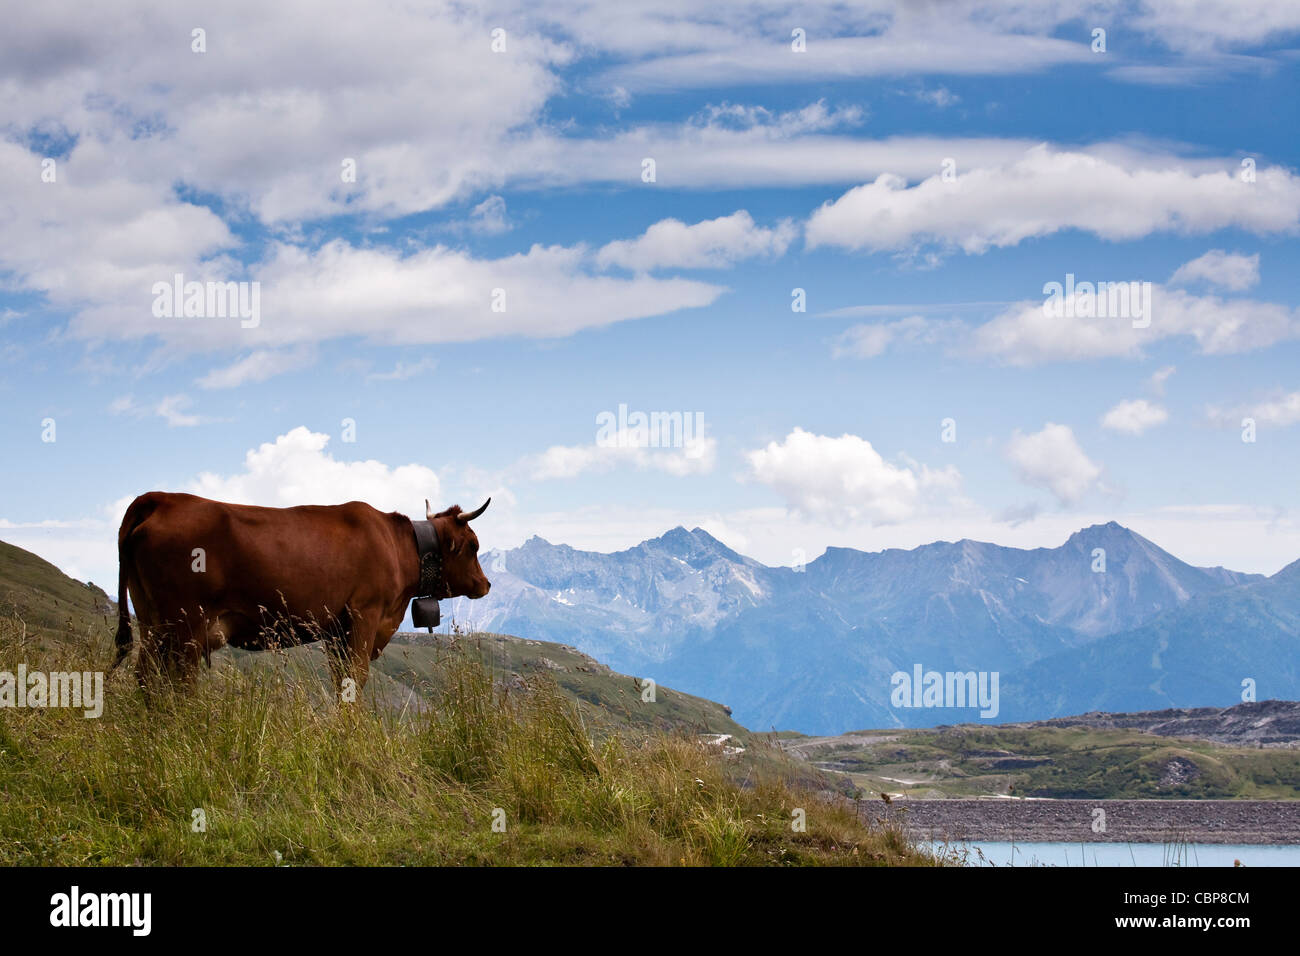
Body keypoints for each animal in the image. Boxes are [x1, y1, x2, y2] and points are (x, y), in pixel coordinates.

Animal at [111, 492, 491, 696]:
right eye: (473, 545)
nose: (486, 584)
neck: (397, 546)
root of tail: (161, 498)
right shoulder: (364, 615)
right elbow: (356, 678)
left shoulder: (336, 630)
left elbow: (341, 681)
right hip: (186, 624)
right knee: (178, 682)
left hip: (152, 620)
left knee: (146, 675)